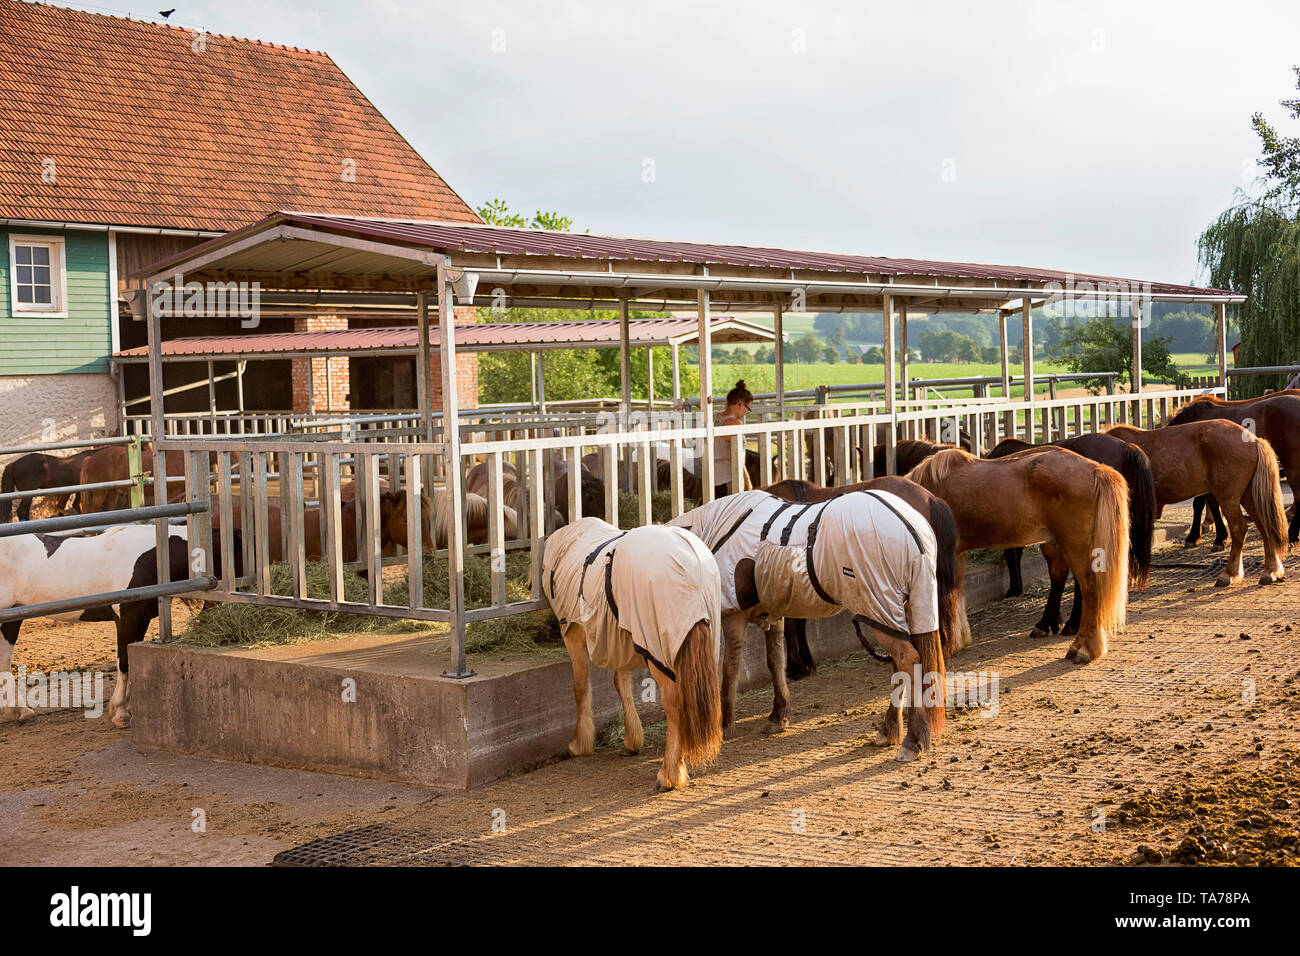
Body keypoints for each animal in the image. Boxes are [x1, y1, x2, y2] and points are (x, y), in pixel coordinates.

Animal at [1, 525, 240, 727]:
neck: (153, 559)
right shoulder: (127, 618)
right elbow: (124, 662)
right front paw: (121, 712)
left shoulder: (141, 619)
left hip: (12, 619)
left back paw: (19, 710)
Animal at [542, 518, 723, 791]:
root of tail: (692, 564)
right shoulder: (620, 634)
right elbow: (622, 683)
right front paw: (631, 741)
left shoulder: (573, 631)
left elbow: (580, 687)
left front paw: (580, 743)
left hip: (661, 648)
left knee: (675, 704)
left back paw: (668, 775)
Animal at [670, 489, 946, 761]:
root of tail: (911, 527)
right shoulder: (774, 612)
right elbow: (775, 661)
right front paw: (778, 715)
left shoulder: (733, 615)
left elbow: (730, 668)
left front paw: (726, 722)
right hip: (904, 607)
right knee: (900, 663)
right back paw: (889, 730)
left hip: (880, 604)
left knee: (908, 659)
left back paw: (912, 740)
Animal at [907, 447, 1130, 664]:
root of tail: (1097, 470)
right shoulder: (958, 554)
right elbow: (958, 593)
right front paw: (960, 641)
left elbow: (944, 600)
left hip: (1076, 547)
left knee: (1090, 589)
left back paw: (1084, 649)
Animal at [1106, 420, 1288, 587]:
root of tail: (1253, 439)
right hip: (1247, 497)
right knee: (1264, 527)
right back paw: (1270, 571)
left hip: (1229, 498)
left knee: (1239, 531)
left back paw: (1230, 574)